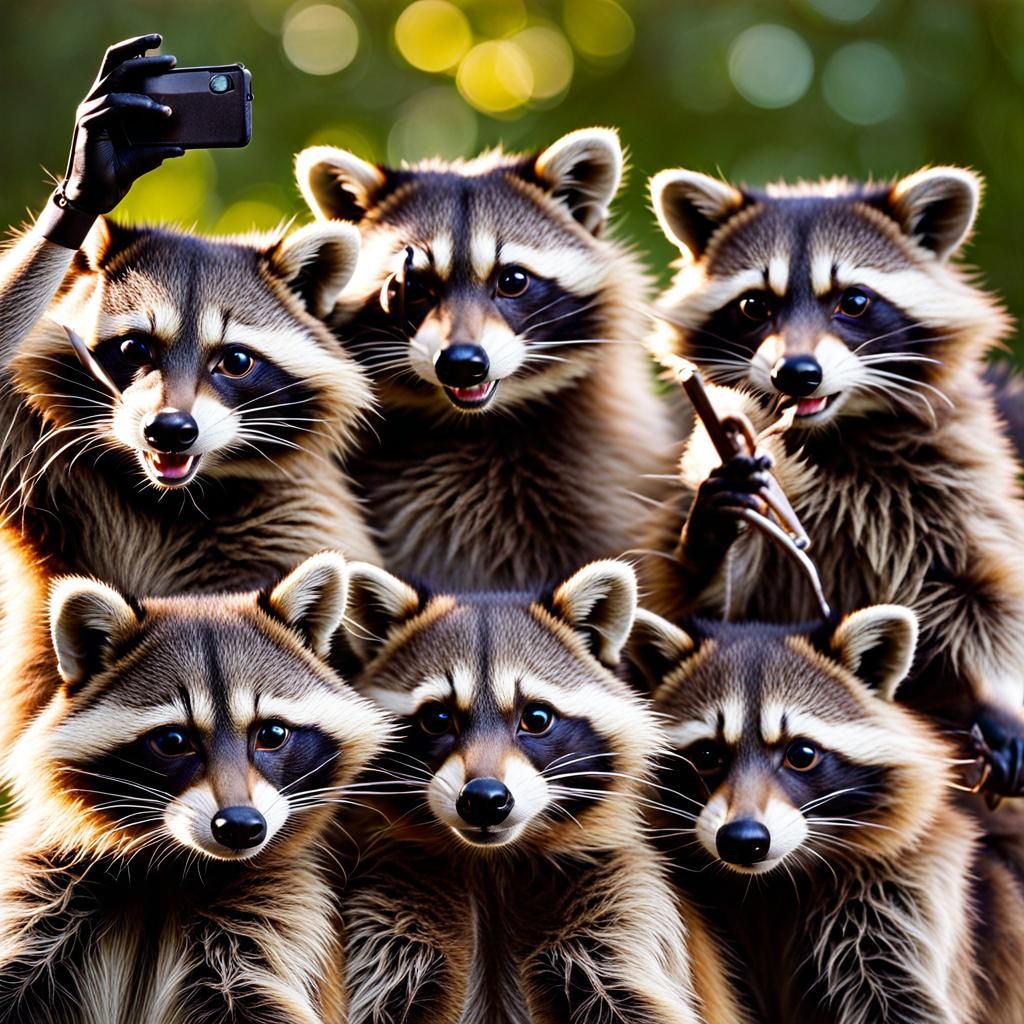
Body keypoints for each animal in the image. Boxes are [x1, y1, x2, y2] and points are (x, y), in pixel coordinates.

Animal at [0, 217, 378, 754]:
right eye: (134, 347)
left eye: (235, 360)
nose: (170, 430)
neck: (176, 493)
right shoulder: (40, 456)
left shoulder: (293, 517)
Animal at [0, 551, 393, 1024]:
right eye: (173, 741)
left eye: (271, 734)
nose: (240, 826)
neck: (171, 871)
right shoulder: (42, 895)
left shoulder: (275, 923)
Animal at [333, 559, 739, 1024]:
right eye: (437, 718)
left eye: (536, 717)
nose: (484, 800)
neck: (490, 865)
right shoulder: (390, 908)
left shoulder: (618, 903)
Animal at [629, 603, 1024, 1024]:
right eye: (706, 755)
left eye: (801, 754)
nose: (742, 840)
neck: (766, 883)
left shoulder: (896, 888)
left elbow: (895, 996)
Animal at [643, 166, 1024, 793]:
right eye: (754, 304)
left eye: (854, 300)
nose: (796, 374)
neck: (829, 433)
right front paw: (710, 532)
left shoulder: (959, 479)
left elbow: (985, 592)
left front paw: (994, 697)